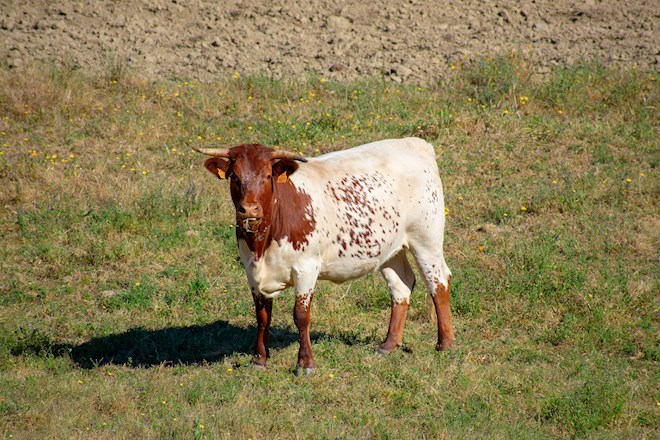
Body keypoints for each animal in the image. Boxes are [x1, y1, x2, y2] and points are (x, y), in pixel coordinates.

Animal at [195, 137, 454, 374]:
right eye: (234, 176)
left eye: (267, 176)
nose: (249, 209)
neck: (262, 243)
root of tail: (416, 142)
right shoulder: (251, 271)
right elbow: (262, 316)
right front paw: (259, 360)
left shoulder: (307, 267)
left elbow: (301, 315)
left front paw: (305, 363)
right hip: (390, 250)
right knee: (401, 286)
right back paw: (388, 345)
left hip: (426, 239)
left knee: (438, 282)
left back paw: (445, 344)